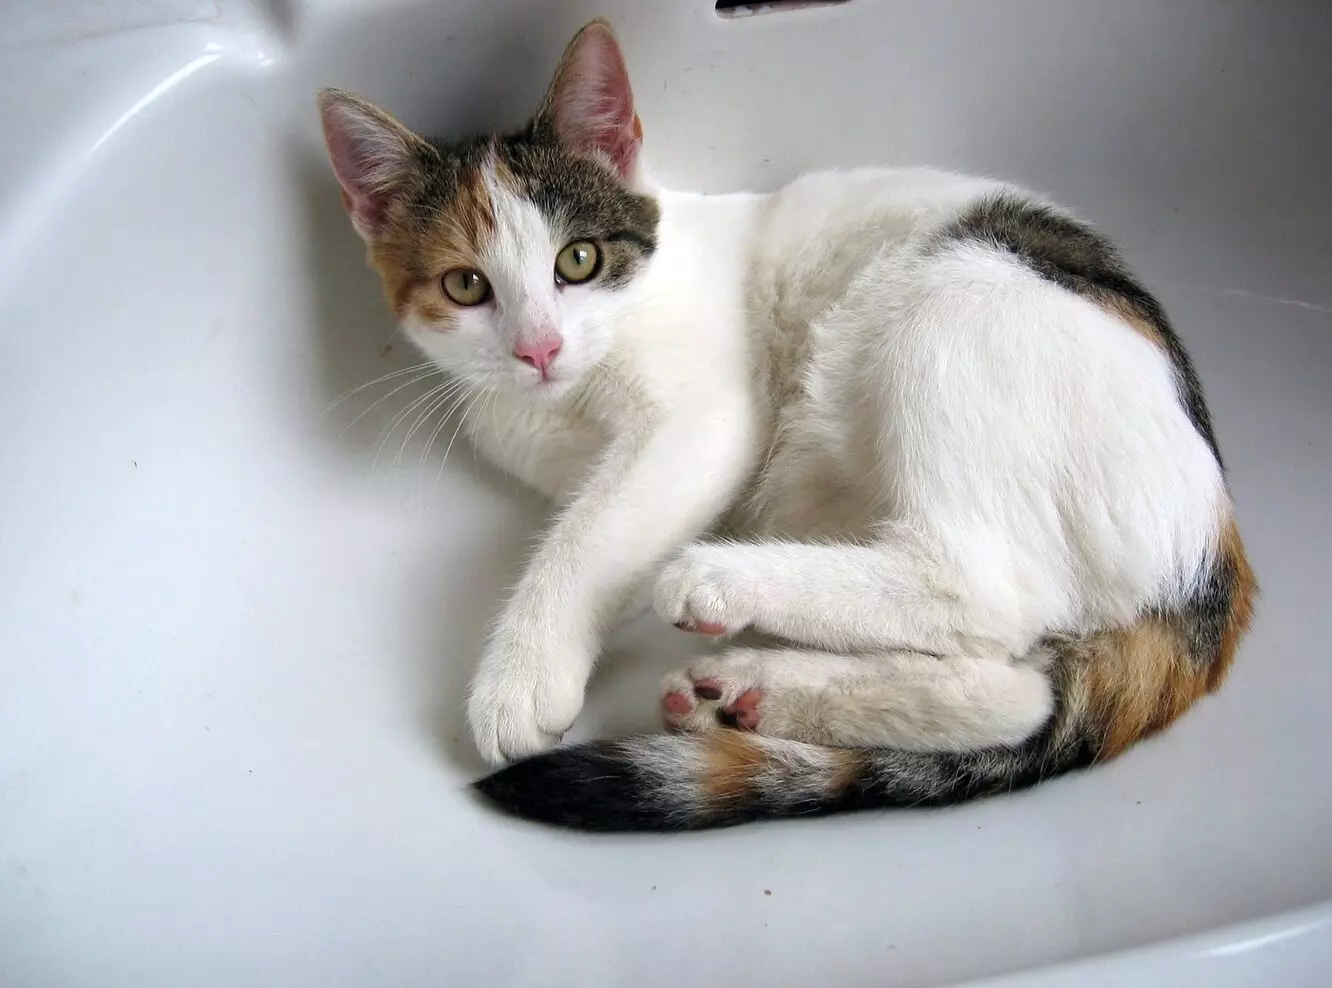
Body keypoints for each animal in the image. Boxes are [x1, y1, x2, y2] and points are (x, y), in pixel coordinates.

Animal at [317, 19, 1252, 830]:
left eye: (577, 260)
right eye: (465, 286)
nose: (539, 348)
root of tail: (1211, 546)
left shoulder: (703, 418)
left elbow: (591, 533)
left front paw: (523, 668)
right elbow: (608, 526)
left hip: (955, 301)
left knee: (982, 587)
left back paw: (725, 584)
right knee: (1022, 695)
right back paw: (752, 691)